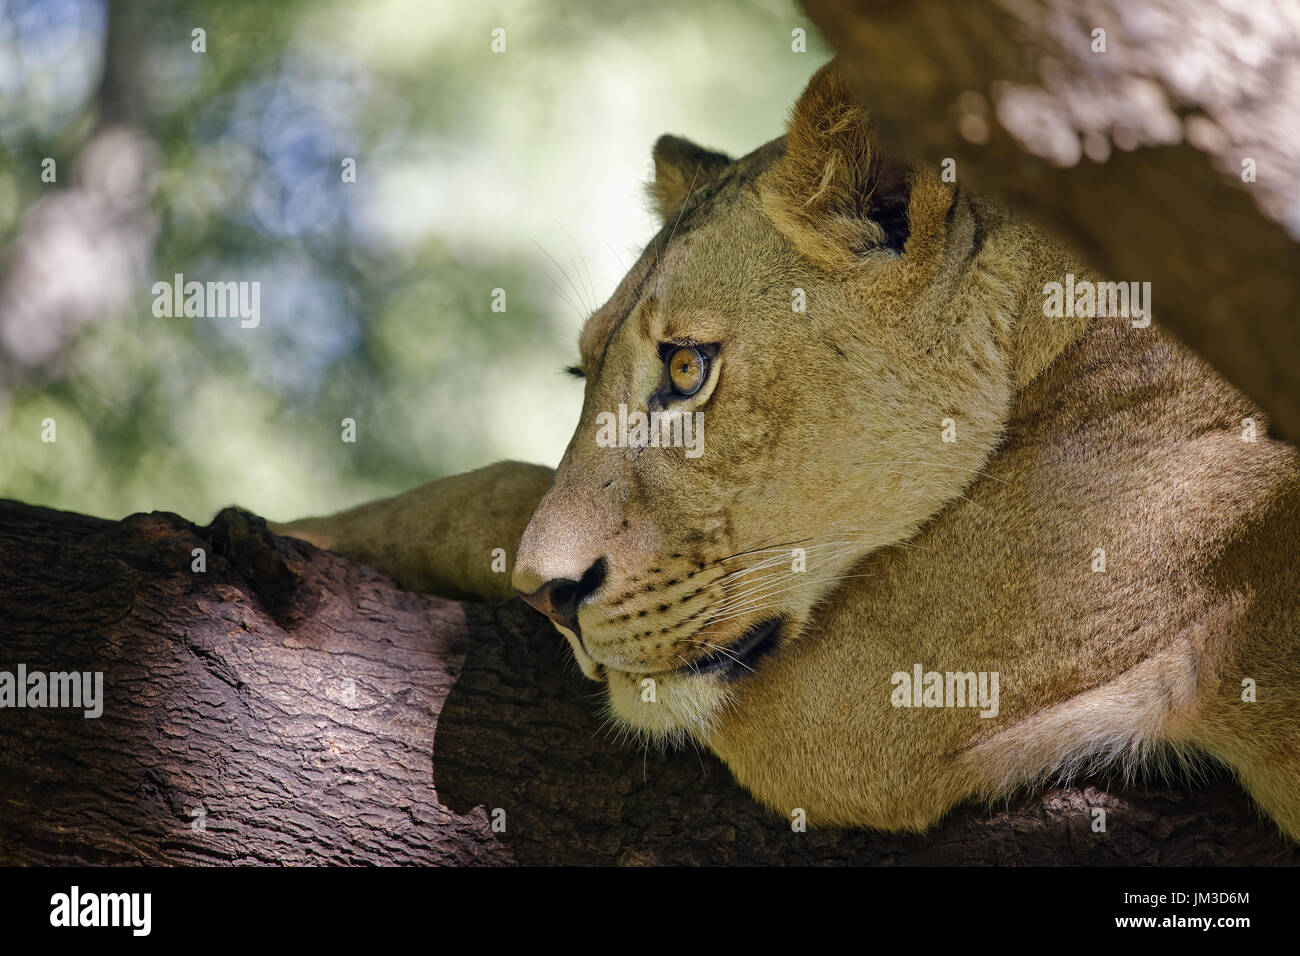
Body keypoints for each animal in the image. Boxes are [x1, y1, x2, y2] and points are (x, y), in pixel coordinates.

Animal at [274, 62, 1300, 840]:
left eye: (687, 368)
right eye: (580, 373)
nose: (547, 600)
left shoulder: (866, 699)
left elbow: (496, 486)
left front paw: (295, 530)